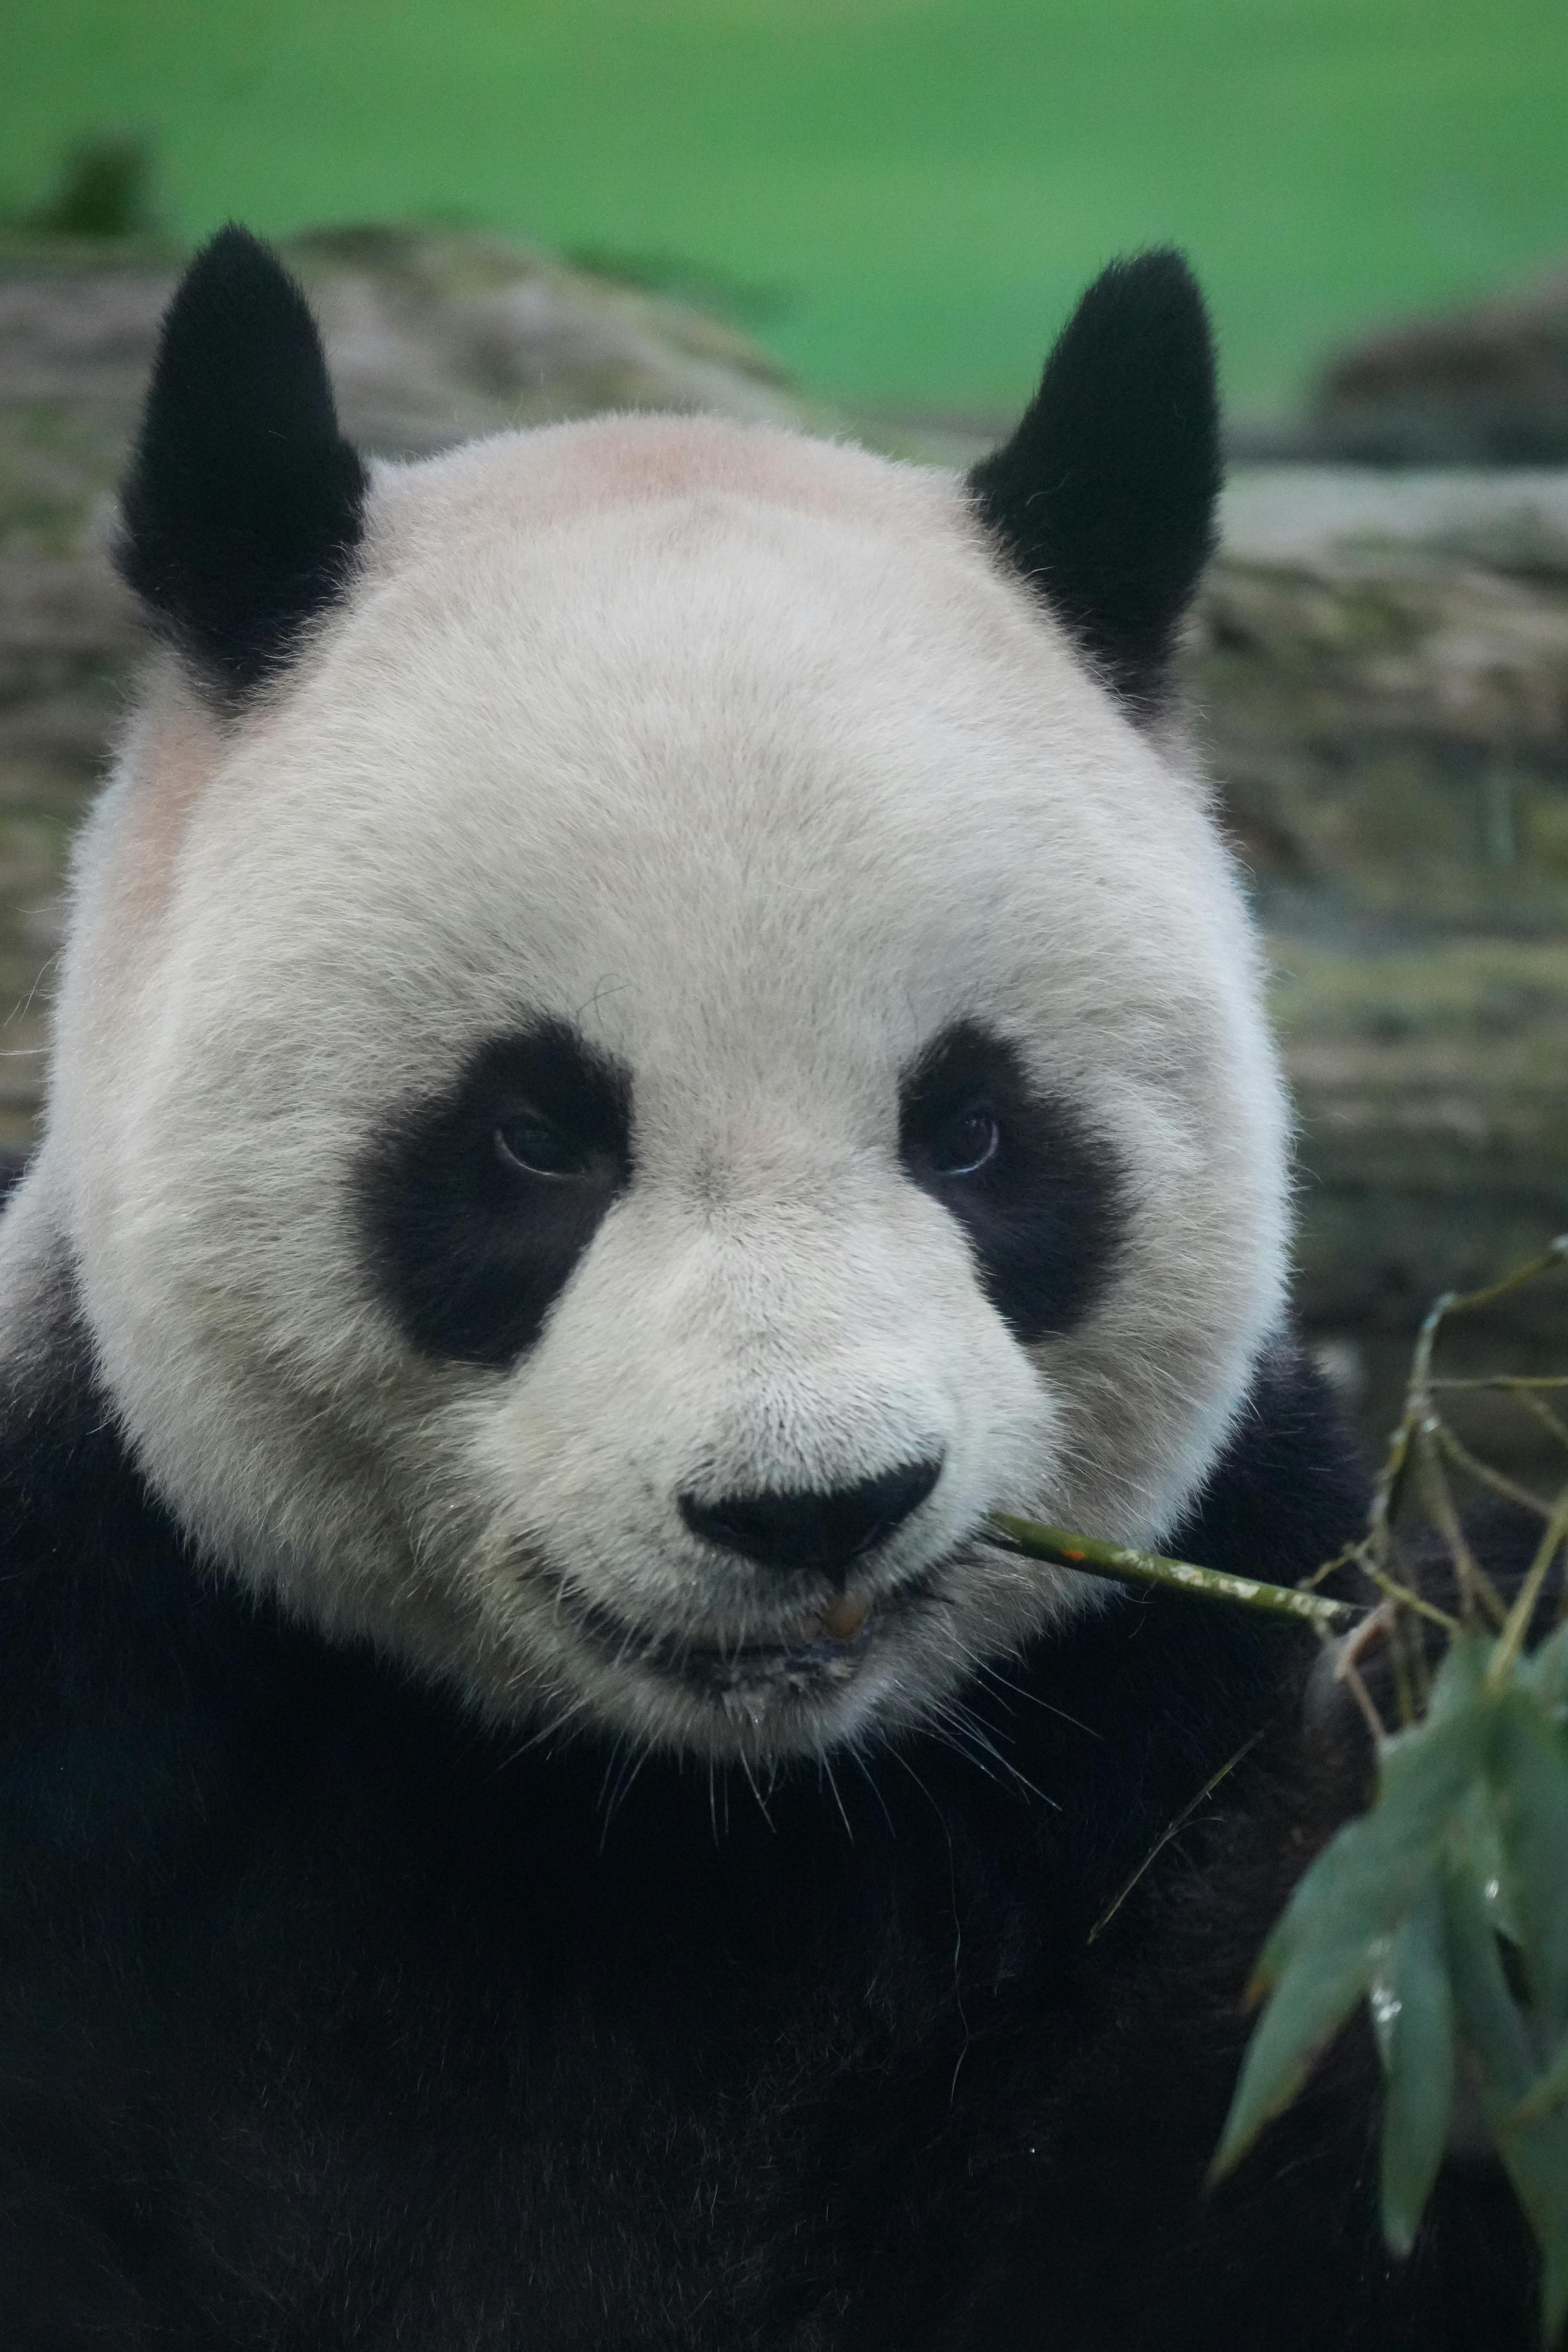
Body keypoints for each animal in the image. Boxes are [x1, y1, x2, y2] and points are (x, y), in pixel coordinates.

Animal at [0, 230, 1535, 2349]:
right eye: (535, 1135)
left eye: (971, 1129)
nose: (813, 1506)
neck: (697, 1826)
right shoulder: (114, 1700)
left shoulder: (1180, 1748)